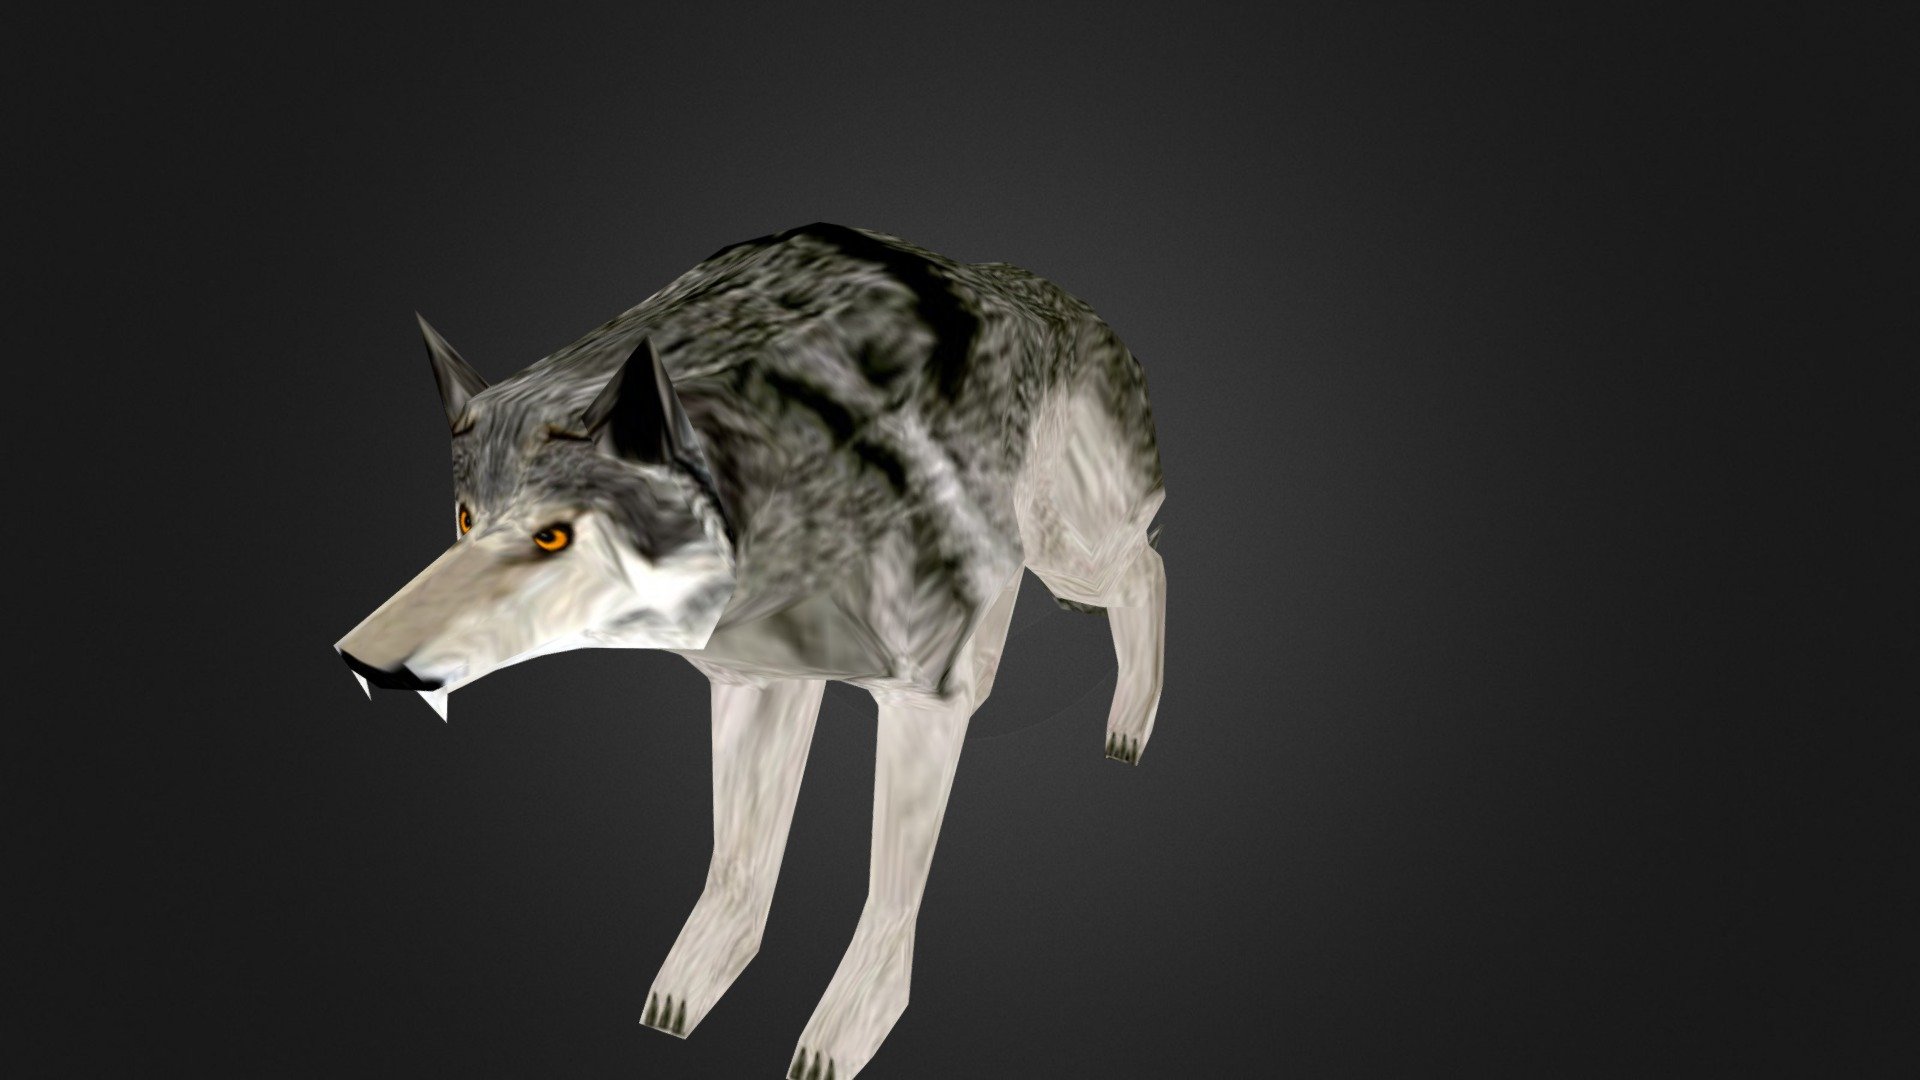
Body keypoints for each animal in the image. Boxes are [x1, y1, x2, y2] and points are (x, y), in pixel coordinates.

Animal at [334, 223, 1166, 1078]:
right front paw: (695, 980)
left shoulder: (917, 701)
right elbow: (738, 862)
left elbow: (888, 895)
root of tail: (1062, 299)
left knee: (1147, 568)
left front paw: (851, 1020)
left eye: (552, 536)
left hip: (1072, 551)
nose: (359, 660)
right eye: (466, 519)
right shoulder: (757, 680)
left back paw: (1131, 722)